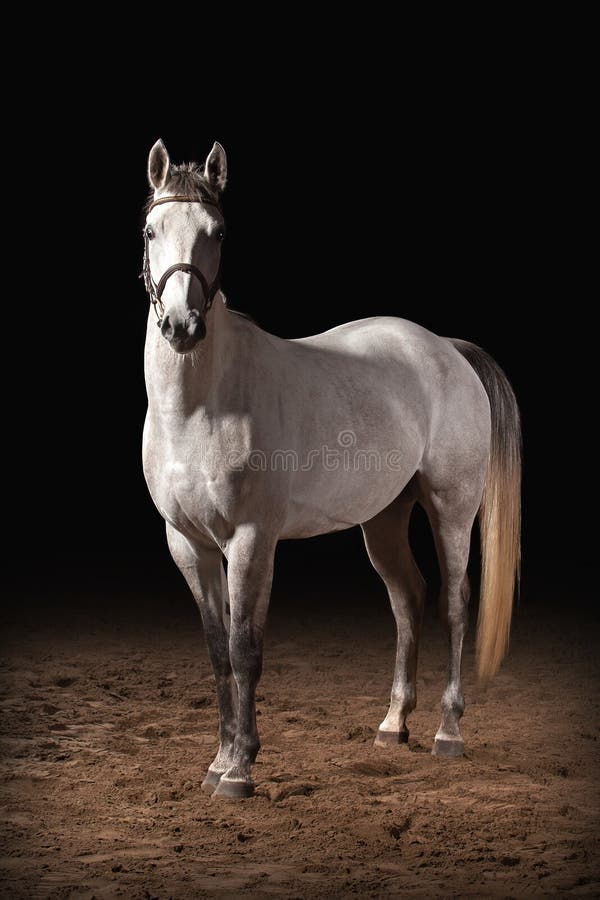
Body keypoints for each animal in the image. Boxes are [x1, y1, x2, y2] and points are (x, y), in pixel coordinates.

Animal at [141, 139, 521, 800]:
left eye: (219, 232)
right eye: (150, 230)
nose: (182, 327)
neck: (200, 405)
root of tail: (445, 349)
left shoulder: (251, 541)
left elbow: (245, 648)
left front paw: (240, 769)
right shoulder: (187, 544)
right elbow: (217, 652)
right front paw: (218, 759)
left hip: (452, 508)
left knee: (453, 601)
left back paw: (448, 732)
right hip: (384, 519)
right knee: (408, 598)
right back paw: (393, 724)